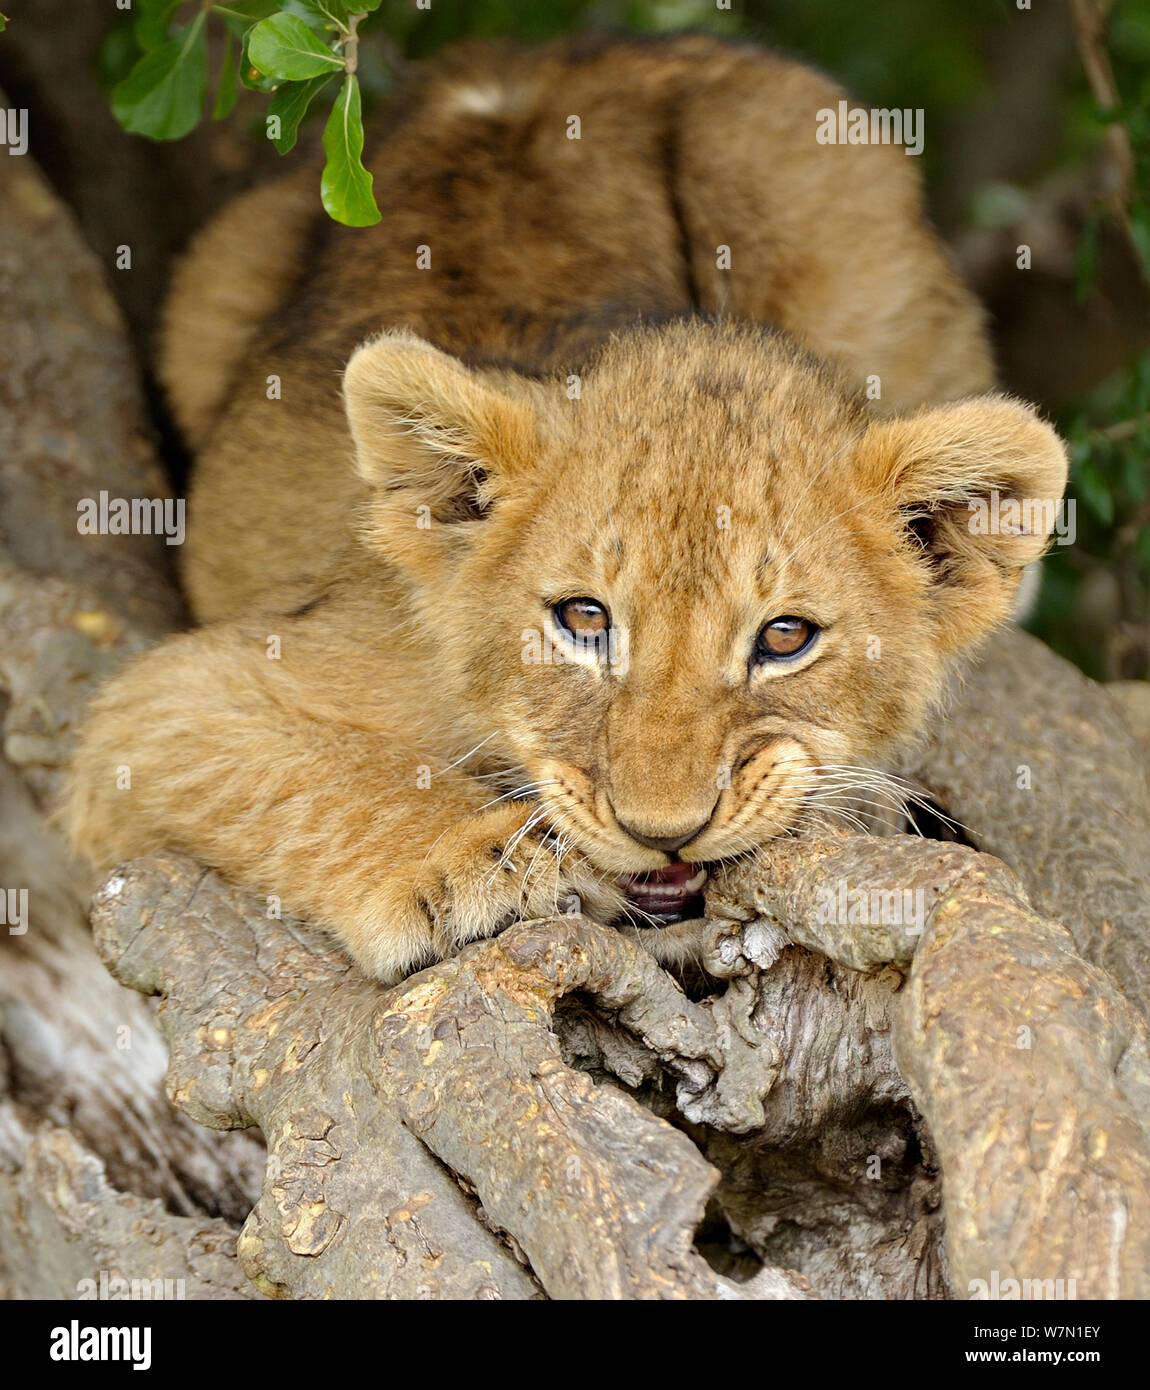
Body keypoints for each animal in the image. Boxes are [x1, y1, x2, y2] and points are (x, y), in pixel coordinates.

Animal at [64, 34, 1068, 981]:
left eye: (786, 638)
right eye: (583, 618)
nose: (663, 831)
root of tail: (535, 52)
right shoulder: (176, 700)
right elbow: (314, 778)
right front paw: (480, 863)